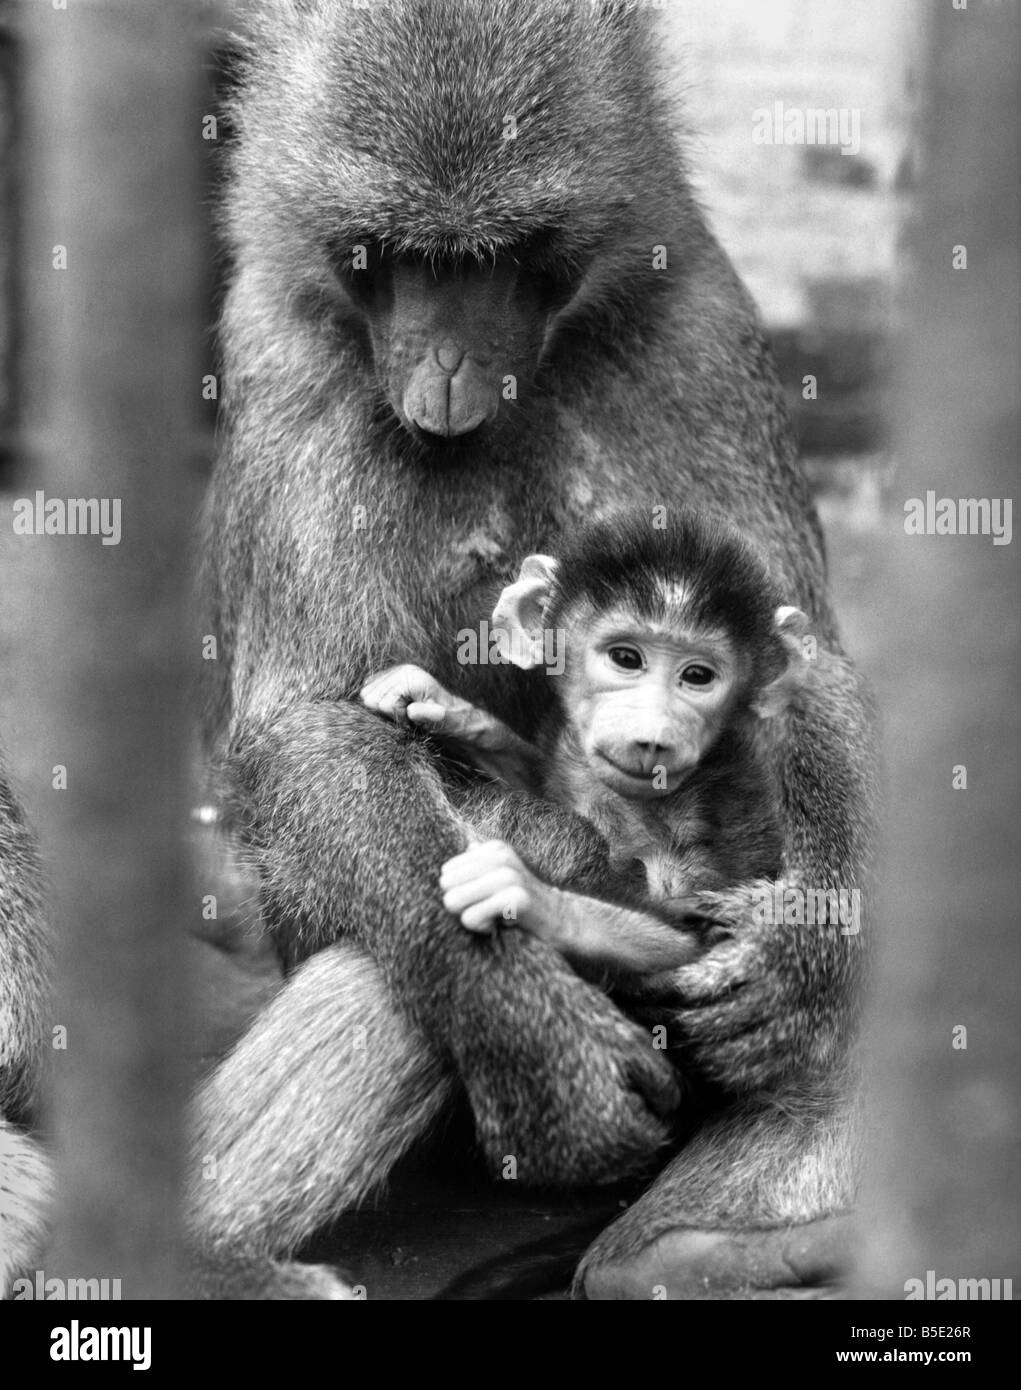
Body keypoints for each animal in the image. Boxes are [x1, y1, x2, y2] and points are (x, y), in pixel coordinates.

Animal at [361, 508, 814, 988]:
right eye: (626, 659)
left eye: (697, 676)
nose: (653, 736)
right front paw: (443, 703)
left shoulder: (718, 804)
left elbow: (692, 940)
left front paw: (529, 896)